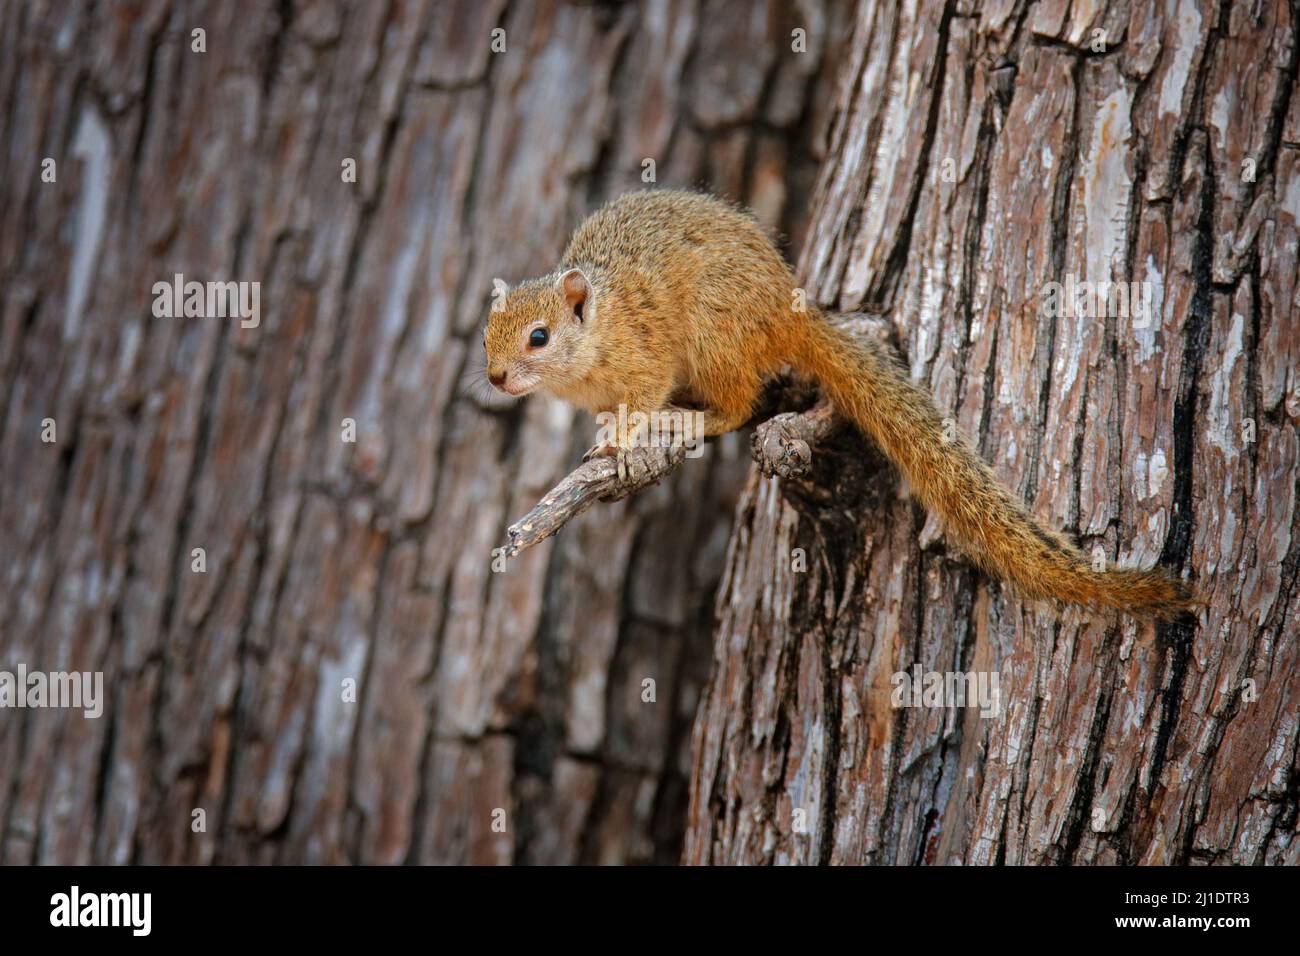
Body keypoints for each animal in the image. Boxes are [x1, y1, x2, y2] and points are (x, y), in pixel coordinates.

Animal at [484, 189, 1197, 621]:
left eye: (538, 336)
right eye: (487, 333)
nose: (494, 378)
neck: (594, 340)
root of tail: (788, 312)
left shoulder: (645, 356)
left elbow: (641, 399)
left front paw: (623, 442)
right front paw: (603, 432)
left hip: (715, 336)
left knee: (739, 403)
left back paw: (690, 416)